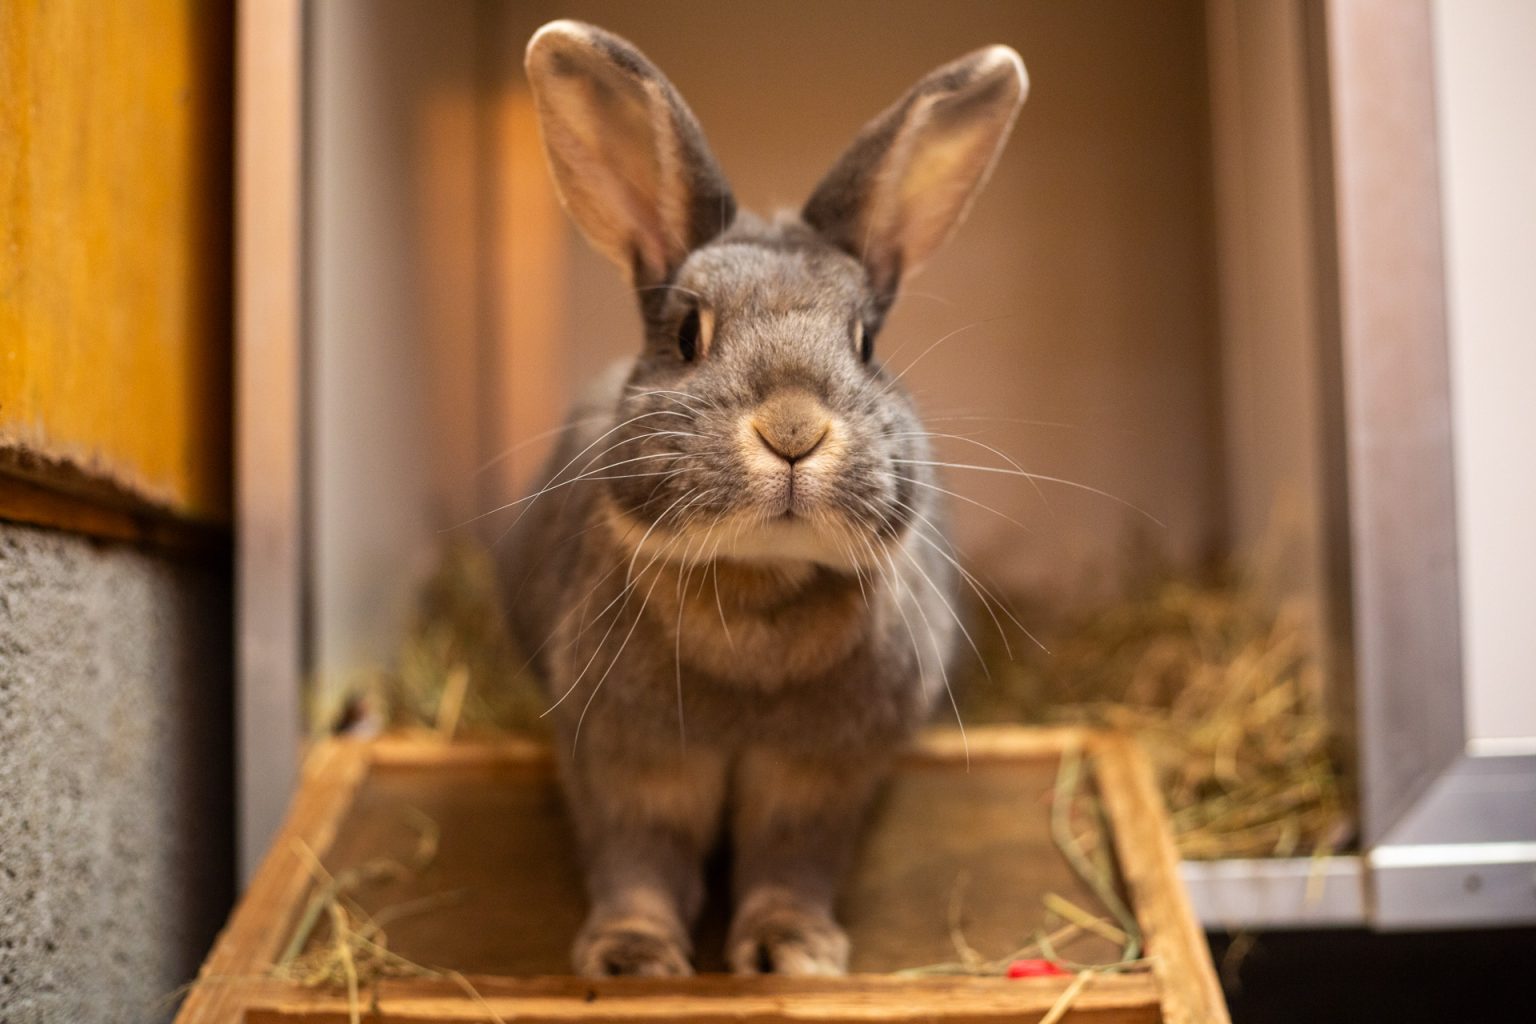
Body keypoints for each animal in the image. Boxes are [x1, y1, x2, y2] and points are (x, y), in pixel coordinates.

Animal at [506, 20, 1027, 978]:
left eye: (866, 342)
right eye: (686, 332)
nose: (793, 431)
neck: (759, 590)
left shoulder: (819, 779)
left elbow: (792, 863)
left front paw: (792, 953)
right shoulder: (627, 765)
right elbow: (639, 863)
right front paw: (633, 960)